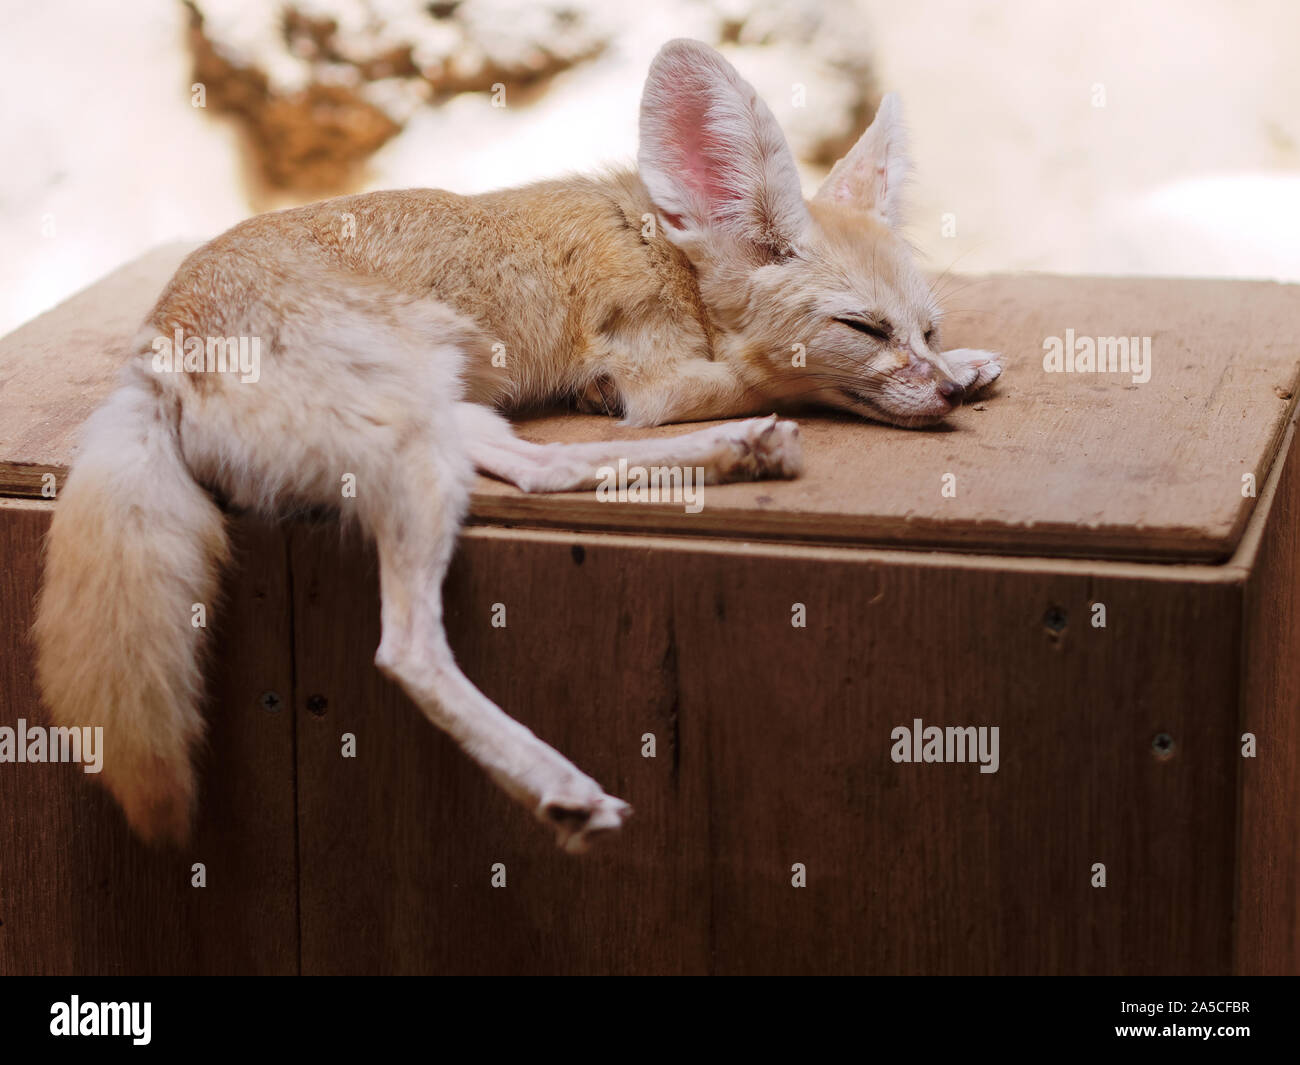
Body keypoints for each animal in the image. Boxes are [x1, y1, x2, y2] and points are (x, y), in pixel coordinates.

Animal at [33, 39, 1001, 854]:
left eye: (925, 325)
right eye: (863, 328)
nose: (948, 392)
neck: (669, 254)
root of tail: (157, 347)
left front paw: (970, 363)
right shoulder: (655, 384)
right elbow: (768, 376)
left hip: (446, 411)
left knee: (544, 469)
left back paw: (743, 452)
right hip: (418, 434)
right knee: (410, 648)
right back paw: (557, 784)